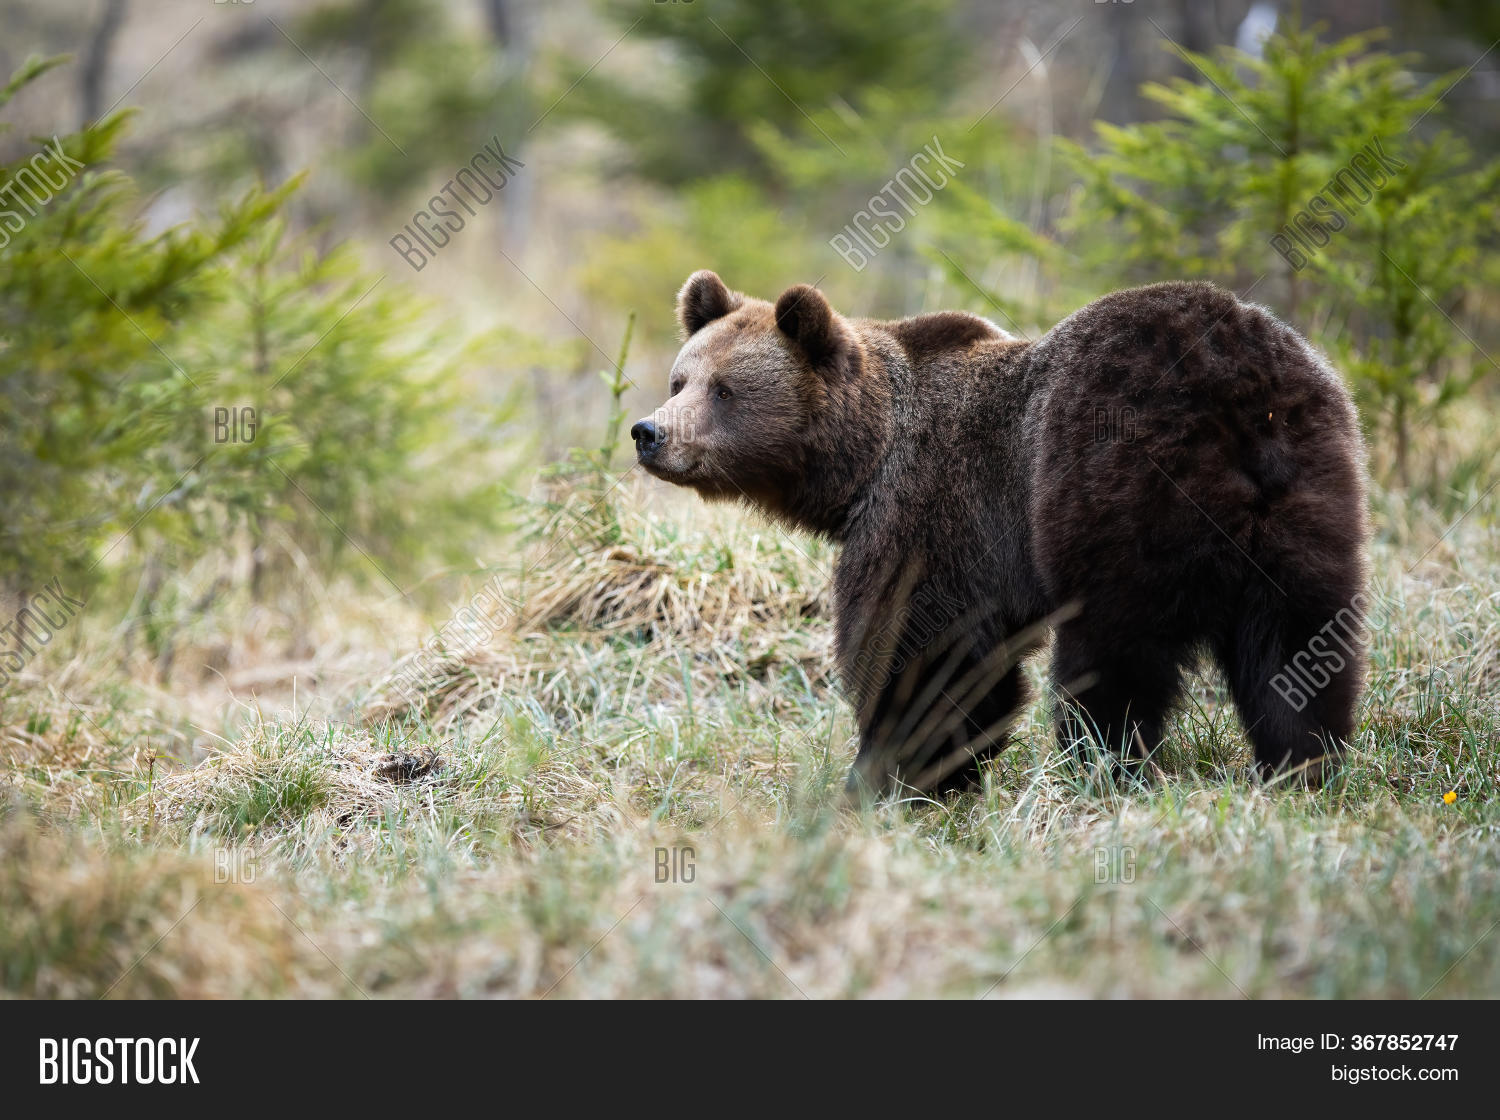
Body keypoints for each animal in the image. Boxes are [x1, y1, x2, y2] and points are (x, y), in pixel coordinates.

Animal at [632, 270, 1368, 798]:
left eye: (724, 390)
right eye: (679, 378)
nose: (649, 432)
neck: (861, 462)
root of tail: (1240, 393)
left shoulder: (930, 513)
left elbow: (922, 649)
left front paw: (887, 775)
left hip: (1110, 484)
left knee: (1113, 650)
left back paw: (1104, 763)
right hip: (1310, 490)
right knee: (1298, 640)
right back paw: (1302, 761)